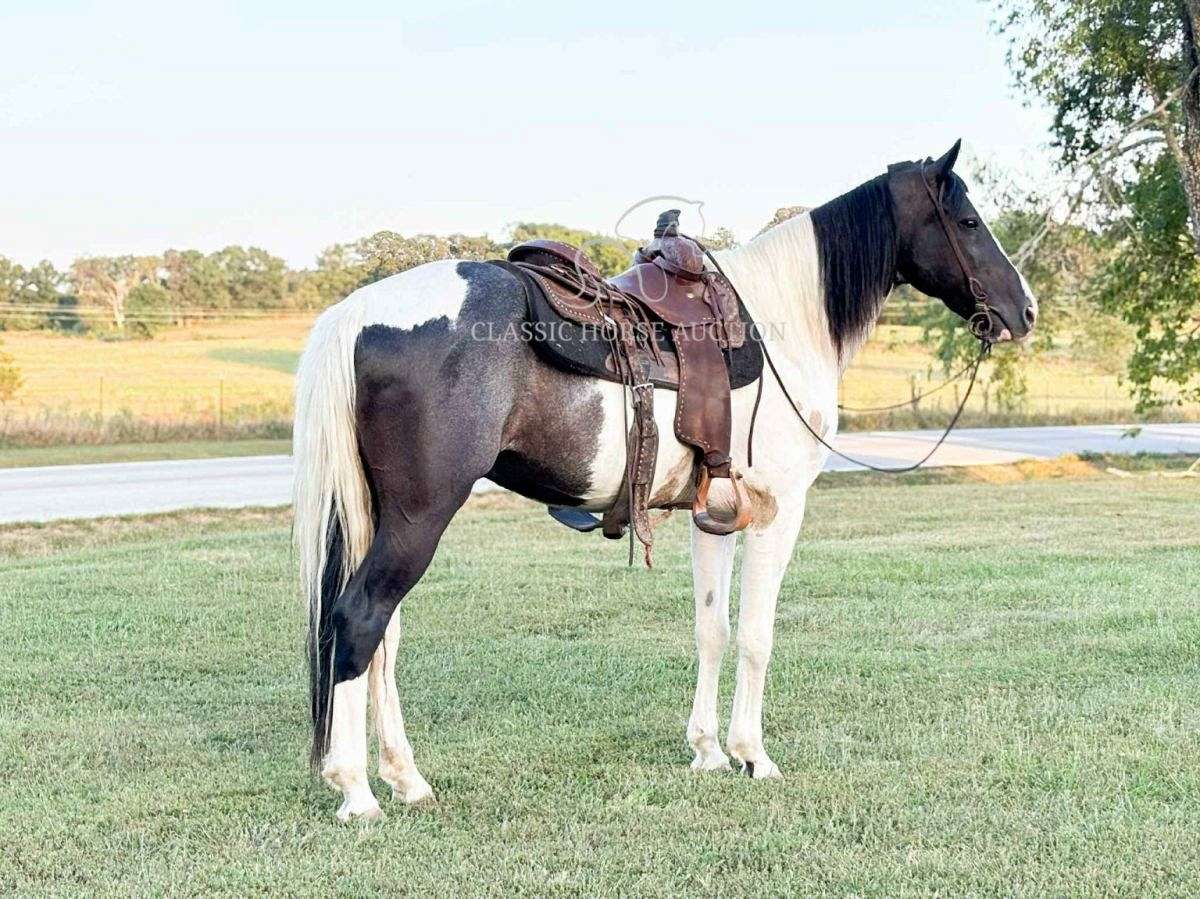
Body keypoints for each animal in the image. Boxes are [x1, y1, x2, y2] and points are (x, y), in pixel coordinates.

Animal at [293, 140, 1038, 821]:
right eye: (967, 219)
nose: (1023, 311)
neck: (780, 324)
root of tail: (354, 314)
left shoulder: (718, 514)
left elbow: (713, 628)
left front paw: (708, 750)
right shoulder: (779, 510)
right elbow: (757, 635)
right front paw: (753, 755)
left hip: (385, 517)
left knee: (384, 637)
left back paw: (406, 778)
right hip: (421, 516)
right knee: (361, 619)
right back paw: (356, 790)